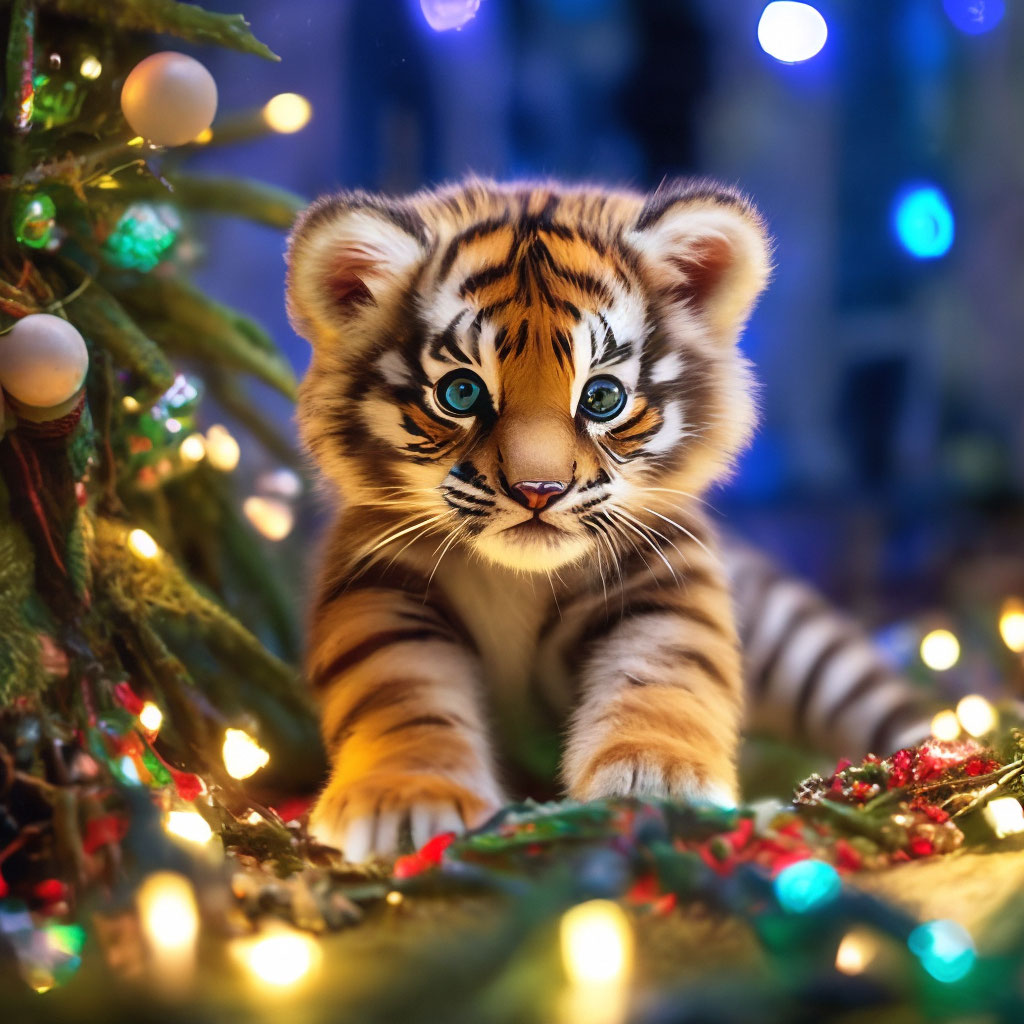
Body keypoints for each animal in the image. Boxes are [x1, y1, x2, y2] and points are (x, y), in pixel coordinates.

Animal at [285, 178, 934, 860]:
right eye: (460, 393)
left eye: (602, 399)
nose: (538, 490)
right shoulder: (380, 587)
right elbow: (404, 690)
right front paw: (407, 800)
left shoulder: (663, 579)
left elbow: (661, 673)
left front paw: (657, 780)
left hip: (803, 649)